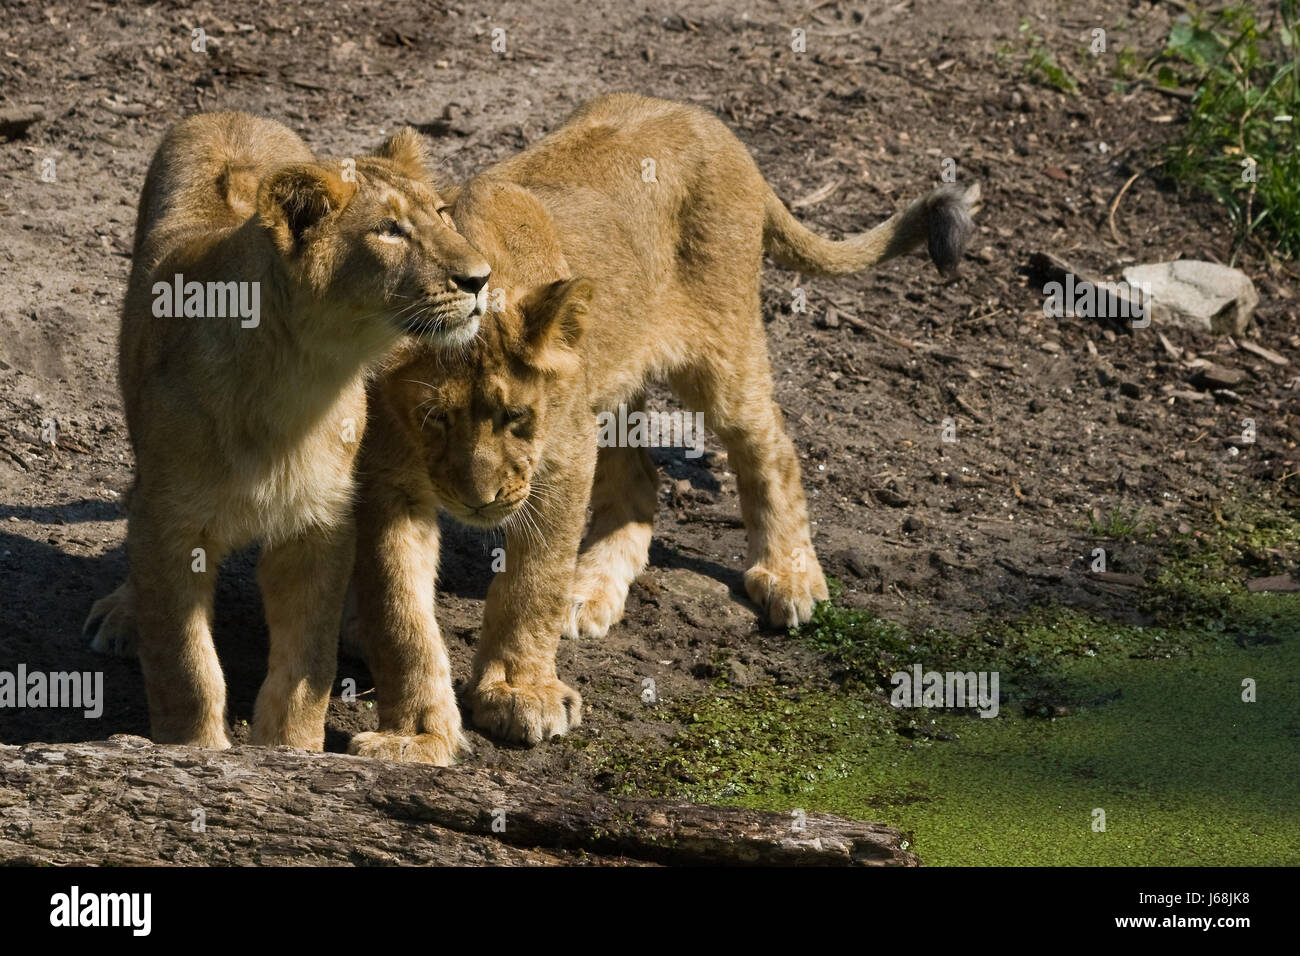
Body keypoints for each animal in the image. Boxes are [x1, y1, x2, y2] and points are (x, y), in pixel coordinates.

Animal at [82, 111, 491, 750]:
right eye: (389, 231)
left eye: (443, 214)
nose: (481, 279)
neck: (302, 382)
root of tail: (231, 113)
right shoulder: (171, 525)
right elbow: (186, 664)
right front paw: (198, 748)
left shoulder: (318, 523)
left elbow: (307, 664)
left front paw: (290, 748)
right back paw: (124, 612)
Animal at [349, 93, 979, 763]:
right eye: (435, 418)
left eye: (517, 418)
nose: (479, 502)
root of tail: (706, 120)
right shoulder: (391, 479)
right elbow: (401, 614)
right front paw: (416, 735)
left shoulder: (561, 457)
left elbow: (531, 584)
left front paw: (521, 693)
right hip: (612, 382)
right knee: (641, 479)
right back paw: (592, 589)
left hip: (721, 354)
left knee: (772, 446)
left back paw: (788, 574)